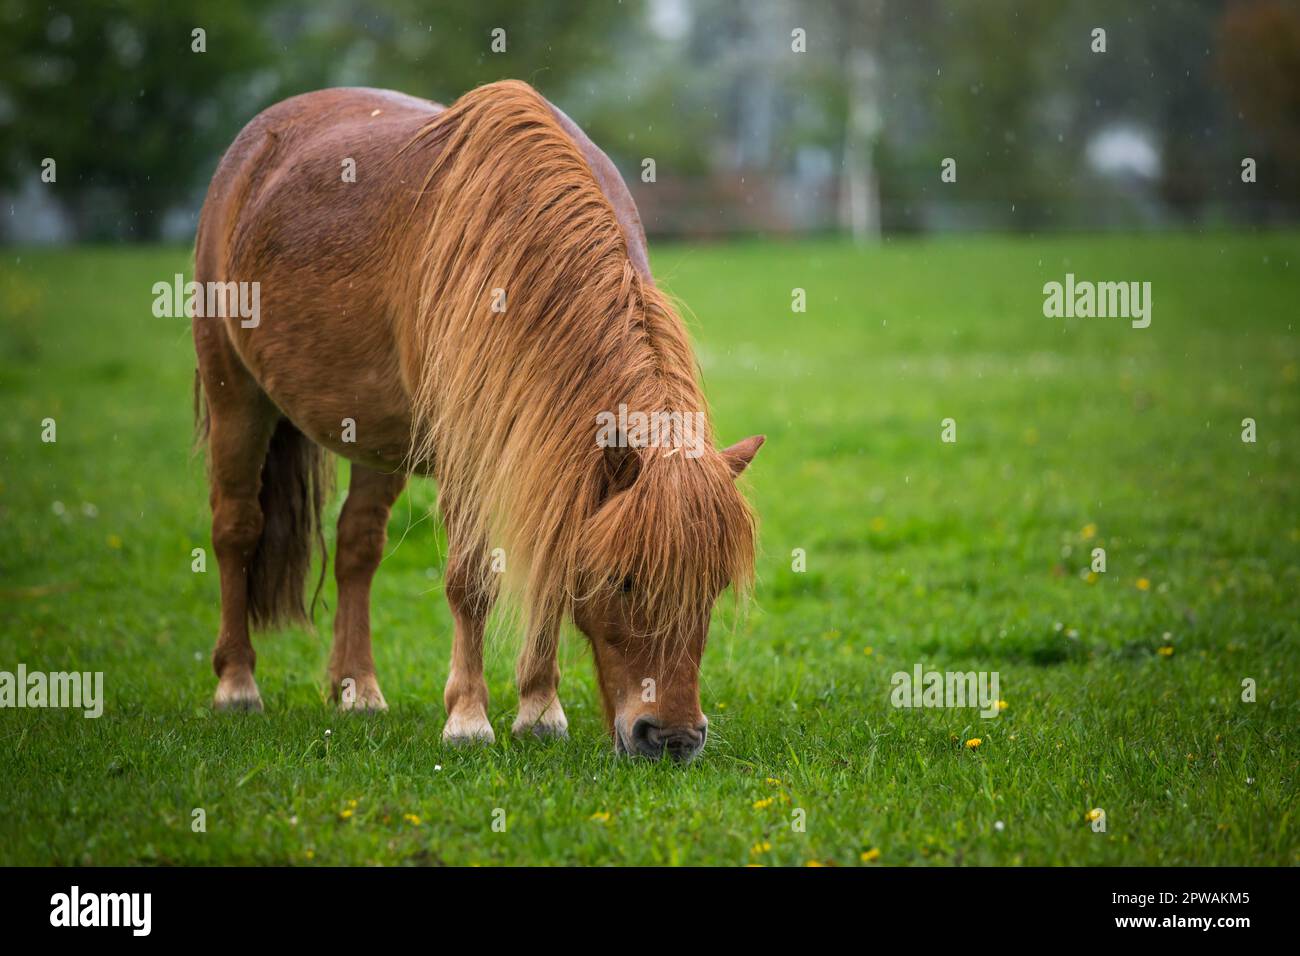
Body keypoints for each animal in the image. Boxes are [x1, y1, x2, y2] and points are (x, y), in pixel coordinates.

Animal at [192, 79, 764, 761]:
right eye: (624, 581)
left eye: (713, 587)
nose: (672, 738)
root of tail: (255, 144)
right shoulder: (466, 459)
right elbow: (469, 582)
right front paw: (468, 718)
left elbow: (548, 570)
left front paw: (539, 710)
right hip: (236, 396)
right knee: (236, 529)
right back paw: (236, 685)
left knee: (358, 544)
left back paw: (359, 690)